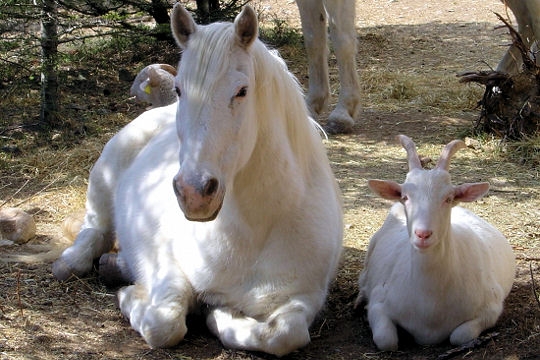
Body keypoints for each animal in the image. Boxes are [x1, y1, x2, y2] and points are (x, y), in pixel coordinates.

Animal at [52, 4, 344, 358]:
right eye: (179, 89)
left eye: (242, 91)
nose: (194, 193)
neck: (256, 232)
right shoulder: (166, 263)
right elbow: (164, 325)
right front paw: (130, 297)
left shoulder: (304, 298)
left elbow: (284, 334)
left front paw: (220, 315)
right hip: (104, 177)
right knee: (94, 231)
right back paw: (77, 262)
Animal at [356, 135, 516, 352]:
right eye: (405, 197)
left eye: (448, 198)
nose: (423, 234)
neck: (430, 303)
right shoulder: (379, 302)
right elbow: (386, 340)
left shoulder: (491, 308)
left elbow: (459, 336)